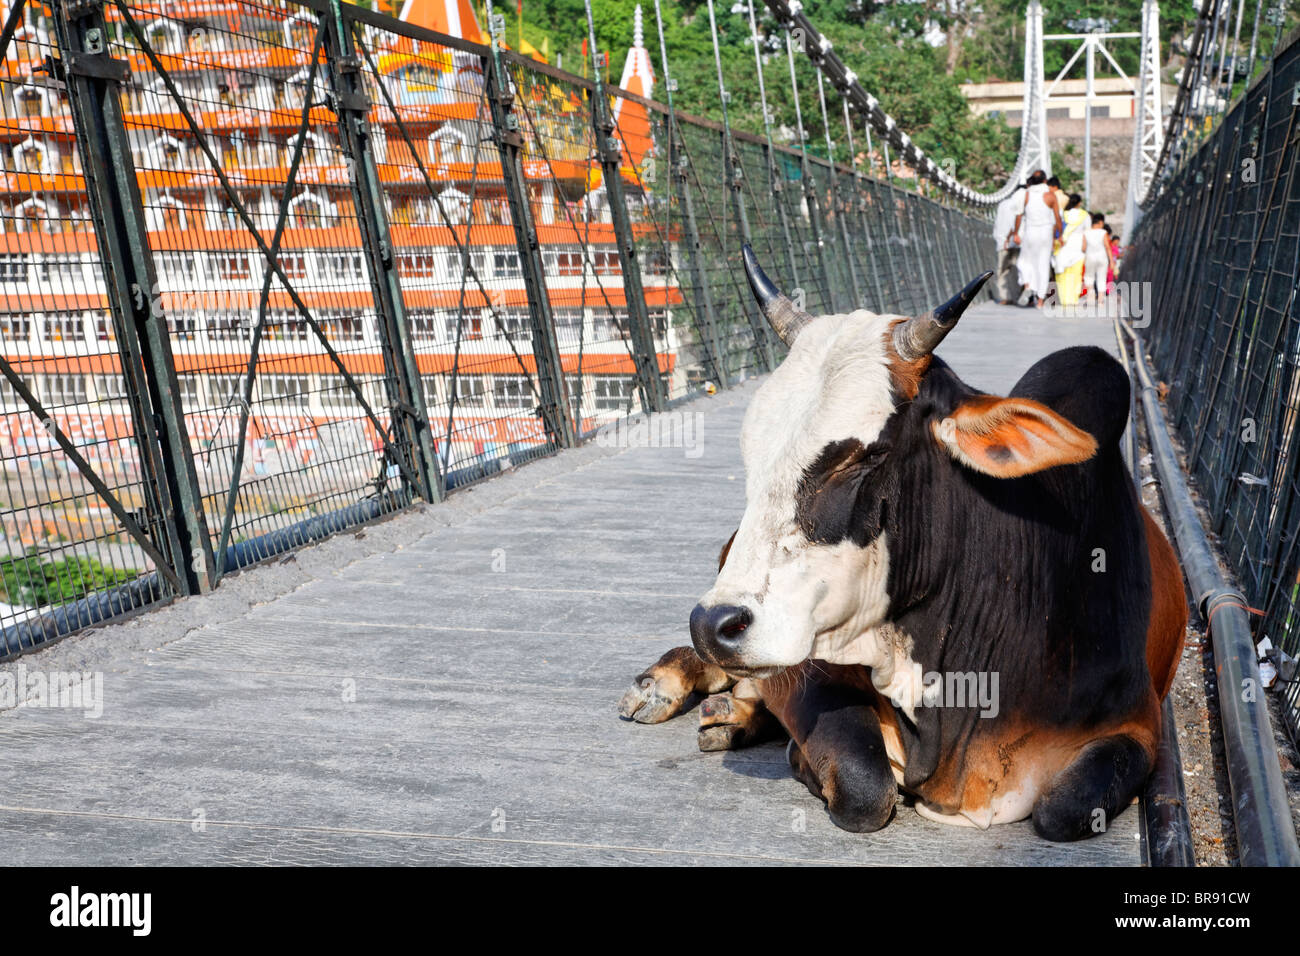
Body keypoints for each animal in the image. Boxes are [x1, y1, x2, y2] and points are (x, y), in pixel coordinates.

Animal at [618, 246, 1186, 841]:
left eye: (865, 456)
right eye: (752, 452)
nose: (714, 624)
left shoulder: (1139, 726)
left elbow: (1065, 810)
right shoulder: (817, 665)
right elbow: (865, 786)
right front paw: (801, 759)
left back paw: (733, 716)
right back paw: (665, 684)